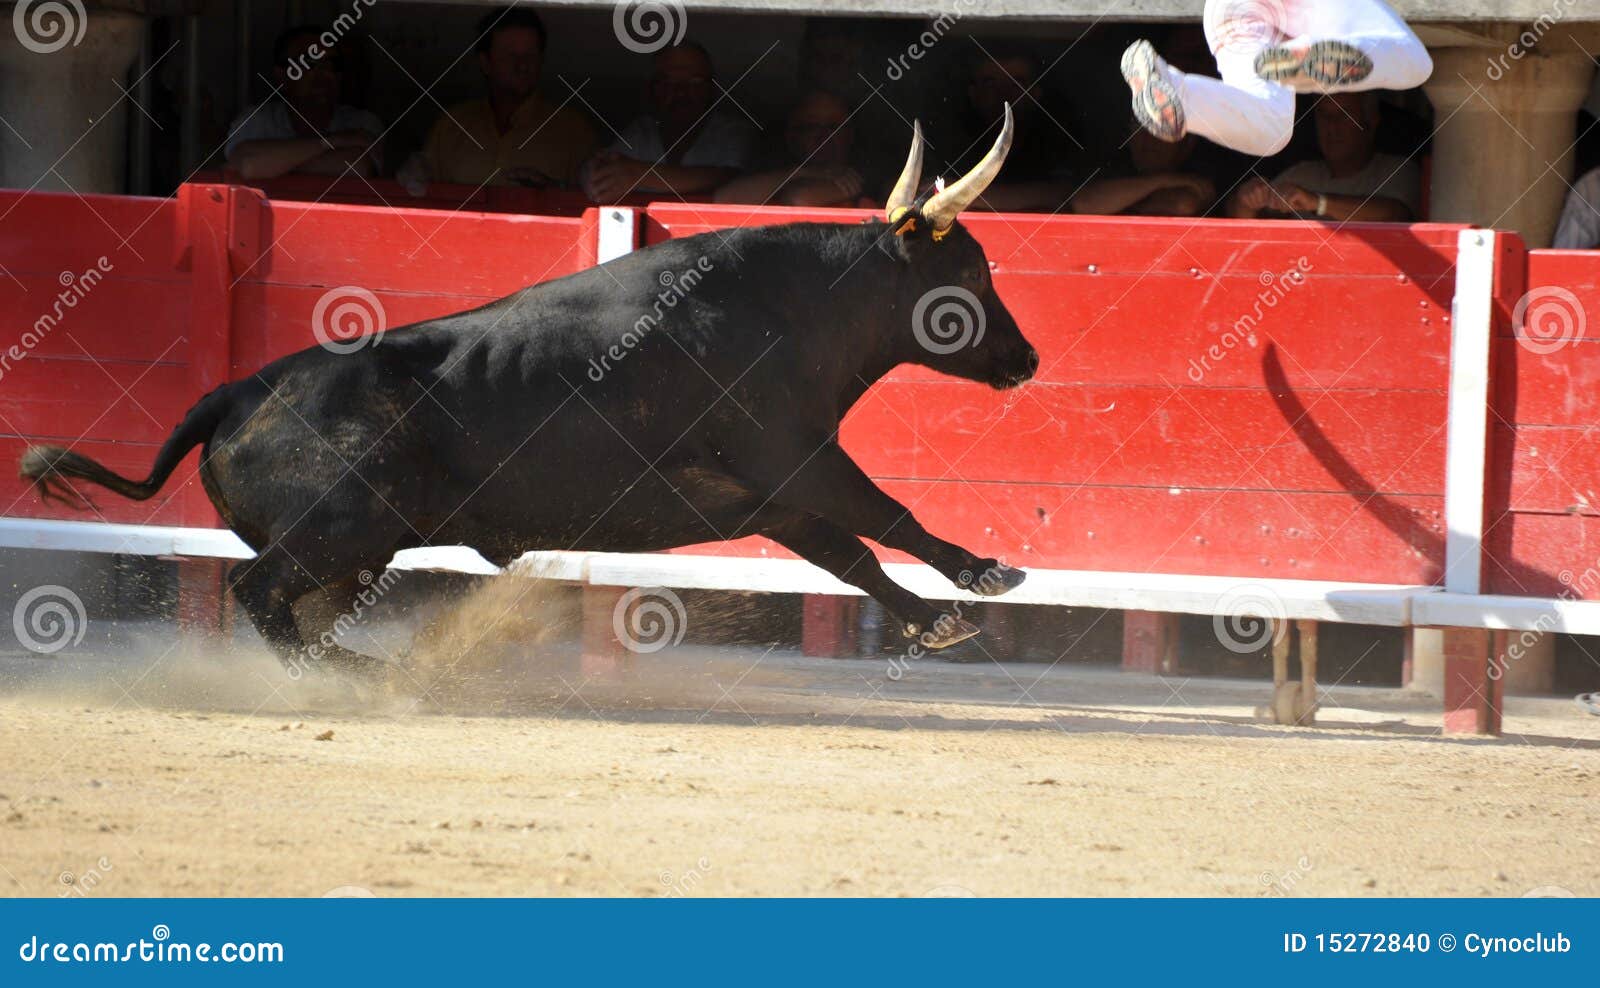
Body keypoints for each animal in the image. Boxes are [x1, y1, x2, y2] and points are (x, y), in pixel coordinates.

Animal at [20, 106, 1039, 677]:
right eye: (973, 273)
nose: (1027, 361)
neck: (798, 305)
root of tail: (238, 391)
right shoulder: (800, 458)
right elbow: (887, 513)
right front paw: (986, 575)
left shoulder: (770, 495)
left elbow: (849, 553)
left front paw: (937, 621)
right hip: (343, 526)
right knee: (256, 592)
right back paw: (370, 674)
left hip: (358, 549)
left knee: (291, 608)